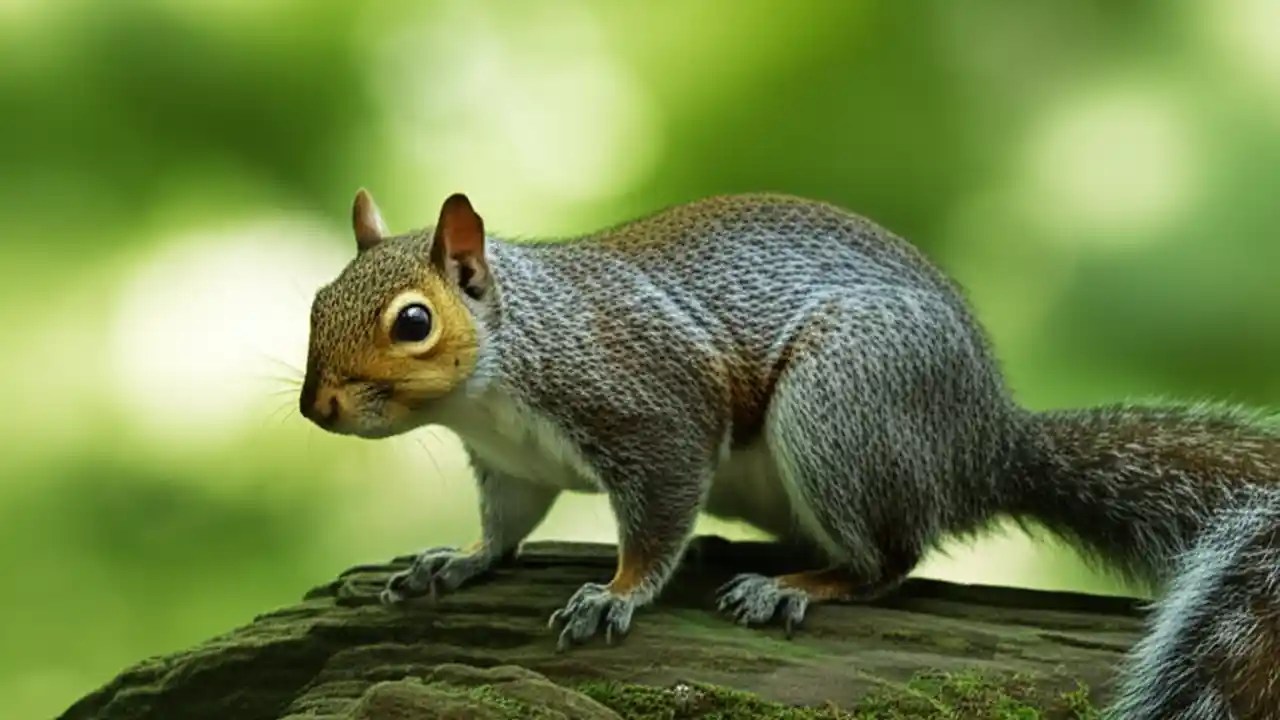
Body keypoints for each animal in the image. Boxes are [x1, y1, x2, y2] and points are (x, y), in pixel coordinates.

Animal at [299, 189, 1280, 719]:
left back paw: (796, 584)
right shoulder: (511, 468)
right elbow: (503, 528)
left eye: (413, 322)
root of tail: (988, 442)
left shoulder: (654, 410)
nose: (316, 407)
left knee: (891, 557)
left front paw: (616, 594)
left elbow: (653, 518)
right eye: (314, 301)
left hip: (842, 406)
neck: (496, 383)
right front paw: (456, 561)